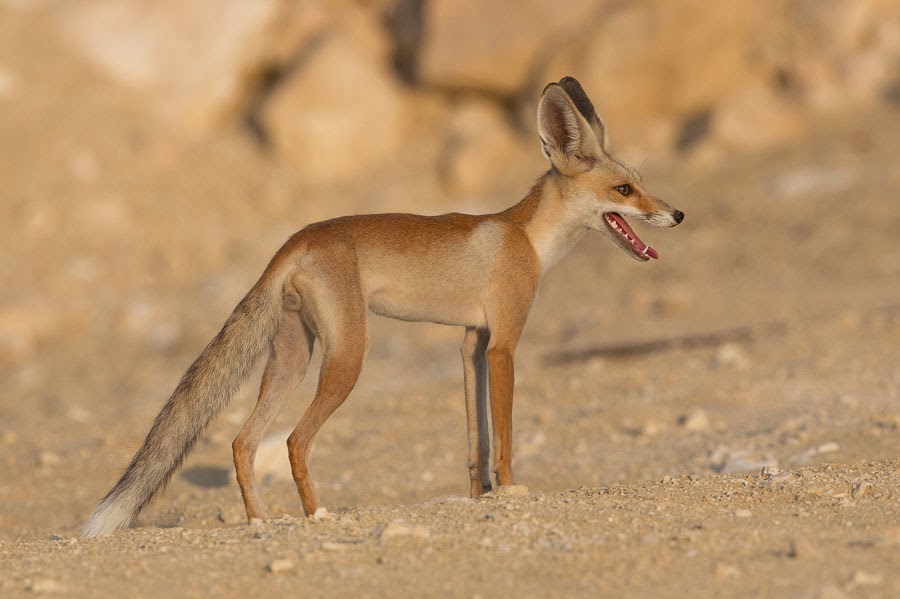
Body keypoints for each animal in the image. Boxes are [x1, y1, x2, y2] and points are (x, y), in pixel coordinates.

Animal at [82, 77, 684, 537]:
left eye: (643, 184)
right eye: (625, 190)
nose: (677, 214)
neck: (529, 238)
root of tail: (299, 237)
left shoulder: (472, 344)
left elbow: (476, 442)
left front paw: (481, 497)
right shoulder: (505, 344)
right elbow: (504, 439)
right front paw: (512, 492)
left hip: (293, 358)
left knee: (241, 441)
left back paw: (260, 522)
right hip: (348, 358)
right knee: (294, 440)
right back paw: (316, 515)